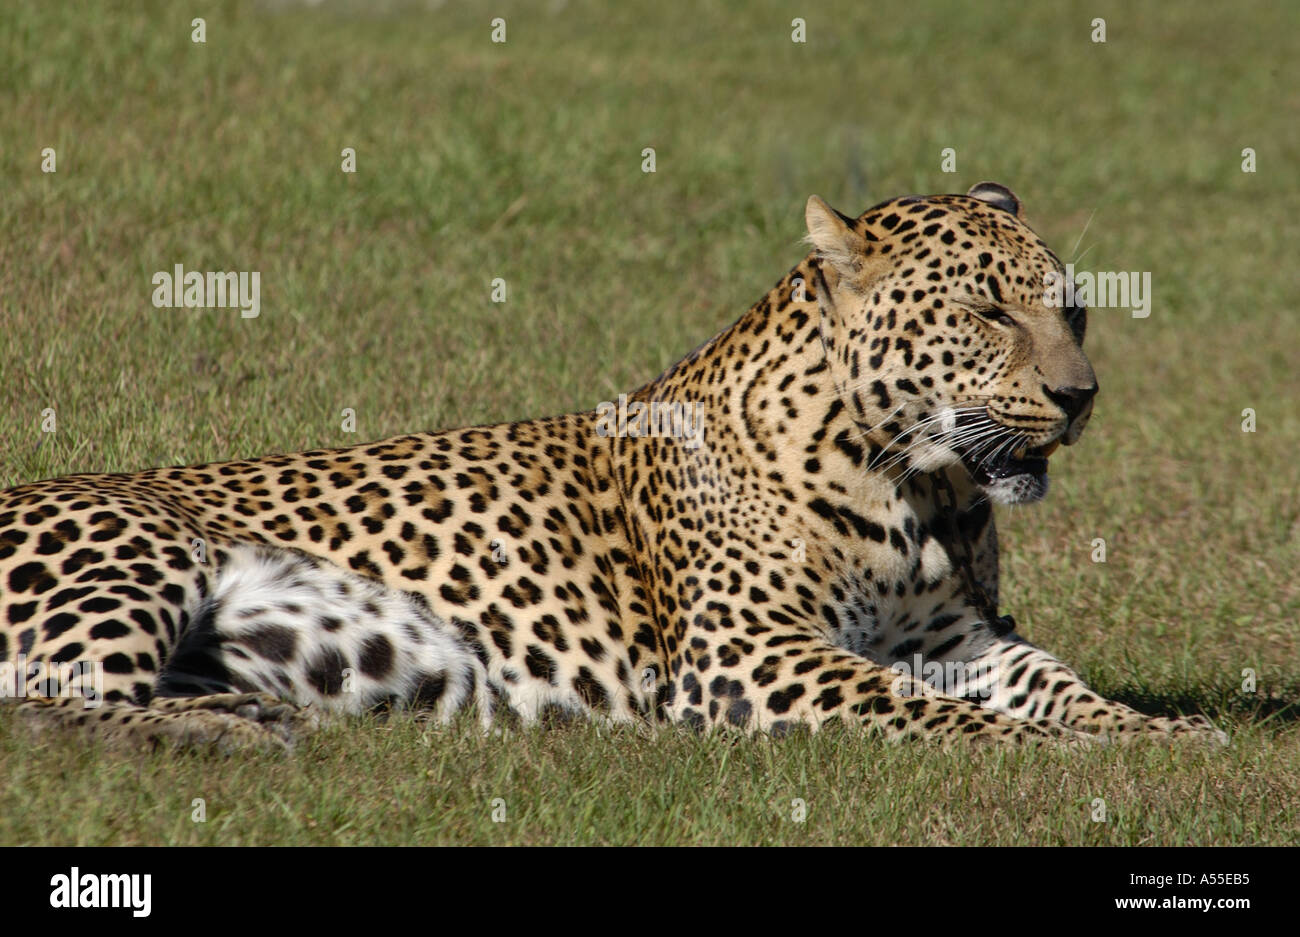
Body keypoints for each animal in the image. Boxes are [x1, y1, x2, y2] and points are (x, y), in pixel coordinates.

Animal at [0, 182, 1227, 752]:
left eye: (1073, 308)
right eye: (986, 313)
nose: (1080, 396)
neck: (918, 487)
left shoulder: (960, 639)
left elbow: (1059, 681)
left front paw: (1156, 737)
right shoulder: (745, 655)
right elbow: (921, 707)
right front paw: (1034, 749)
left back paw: (242, 715)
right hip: (139, 553)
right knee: (48, 715)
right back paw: (226, 732)